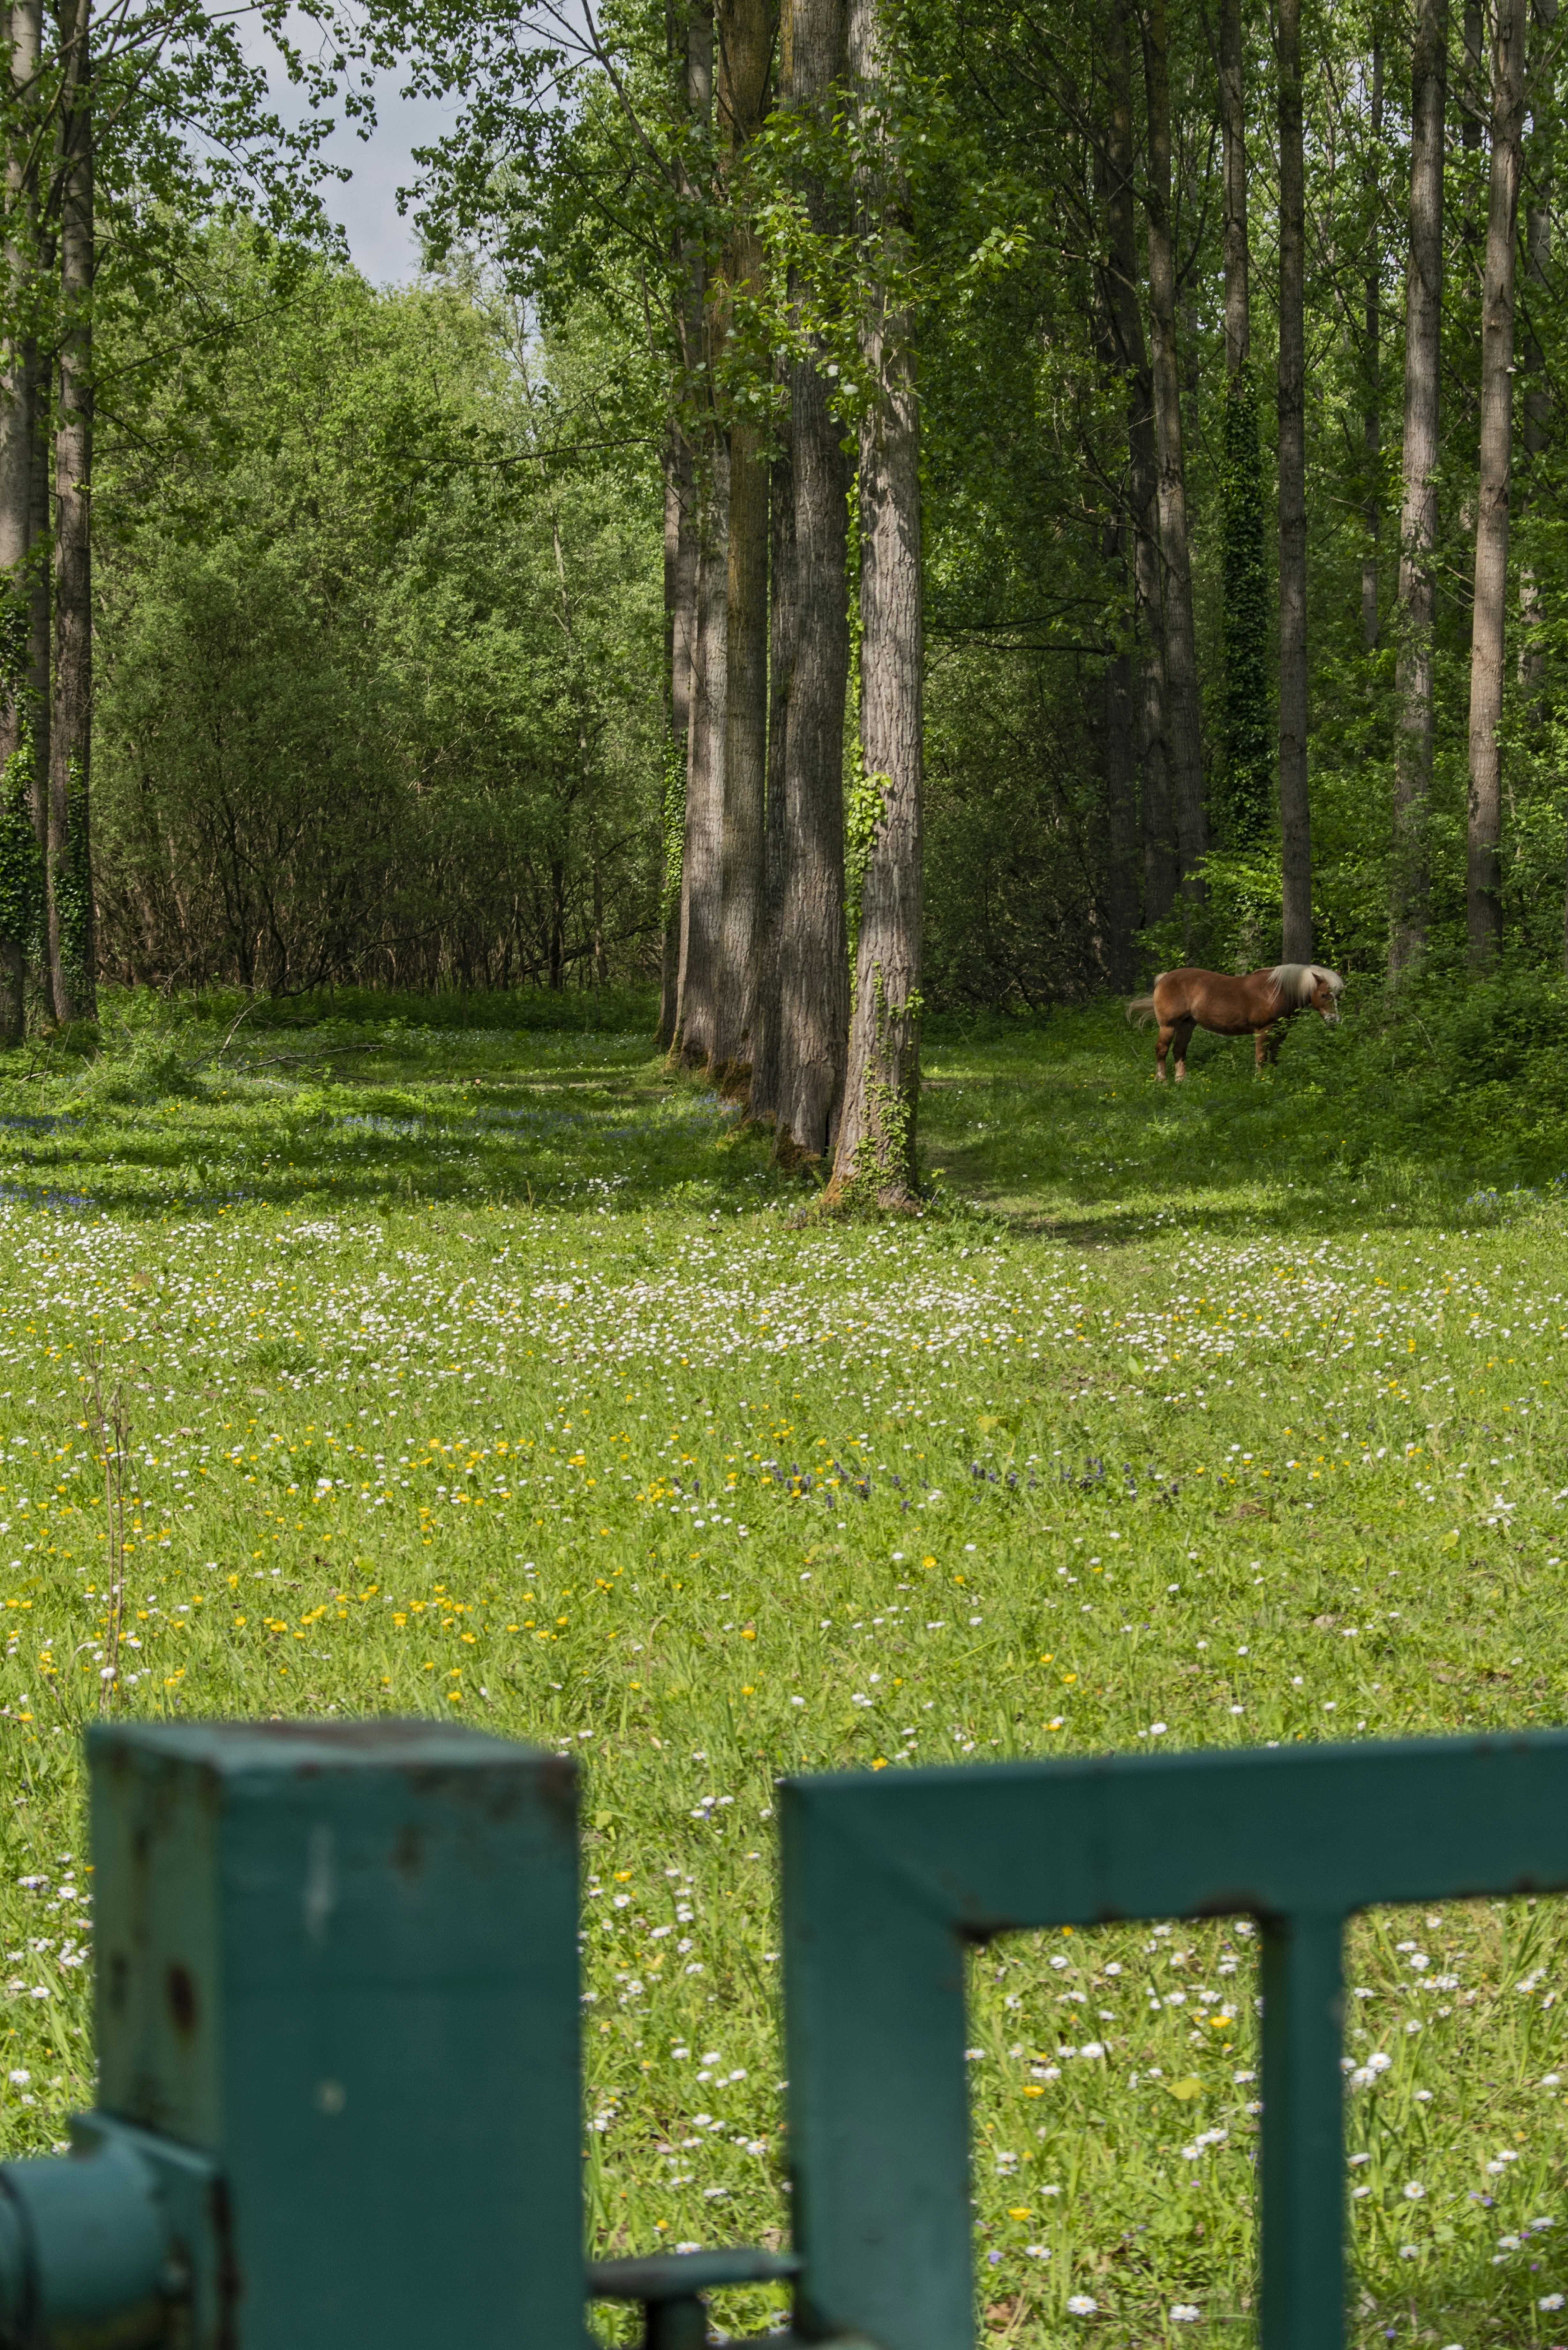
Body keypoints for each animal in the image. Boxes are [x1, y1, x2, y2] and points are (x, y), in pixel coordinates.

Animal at [1126, 963, 1345, 1083]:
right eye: (1324, 995)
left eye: (1339, 996)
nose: (1334, 1020)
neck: (1277, 992)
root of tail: (1164, 978)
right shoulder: (1263, 1030)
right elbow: (1261, 1057)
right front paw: (1261, 1079)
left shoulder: (1281, 1033)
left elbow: (1275, 1056)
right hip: (1169, 1026)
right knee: (1162, 1050)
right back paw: (1162, 1081)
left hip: (1187, 1025)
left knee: (1179, 1051)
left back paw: (1181, 1081)